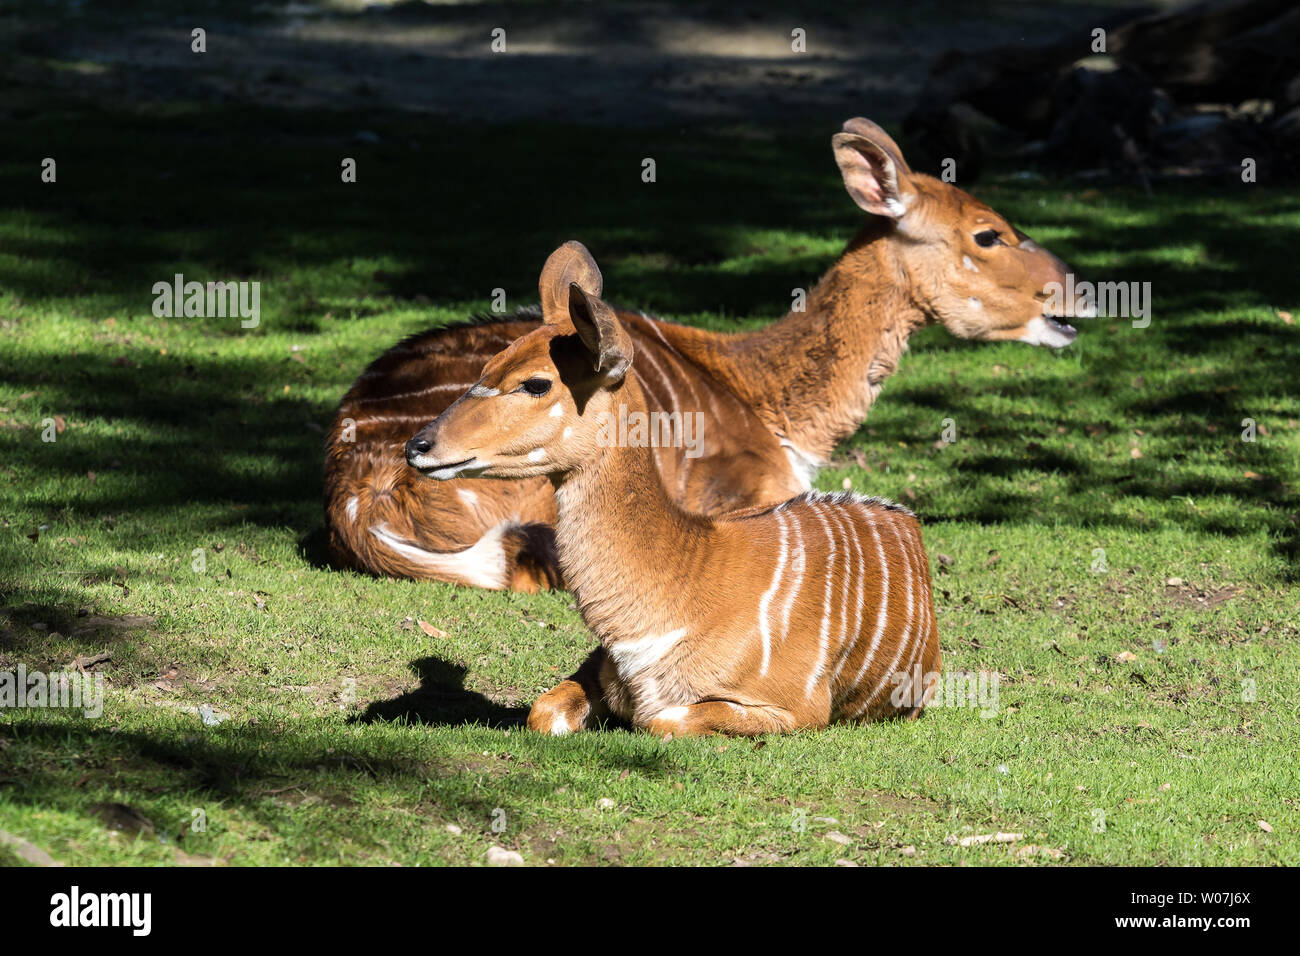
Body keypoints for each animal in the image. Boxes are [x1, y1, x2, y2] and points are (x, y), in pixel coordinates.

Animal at [406, 242, 941, 736]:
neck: (685, 587)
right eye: (487, 365)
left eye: (536, 383)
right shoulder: (599, 668)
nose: (418, 444)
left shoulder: (795, 710)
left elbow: (662, 720)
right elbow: (543, 710)